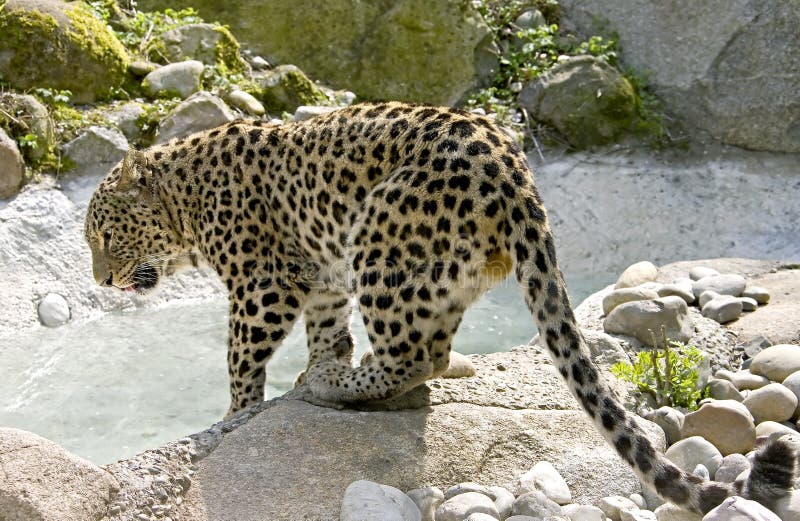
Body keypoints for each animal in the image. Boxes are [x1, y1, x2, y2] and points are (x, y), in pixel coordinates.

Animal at [84, 101, 795, 514]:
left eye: (106, 237)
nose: (103, 279)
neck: (185, 201)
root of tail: (512, 166)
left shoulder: (264, 283)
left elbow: (240, 357)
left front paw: (238, 414)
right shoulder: (321, 280)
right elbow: (326, 329)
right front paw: (314, 366)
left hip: (380, 238)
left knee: (414, 353)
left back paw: (334, 387)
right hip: (433, 270)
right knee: (432, 351)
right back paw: (342, 381)